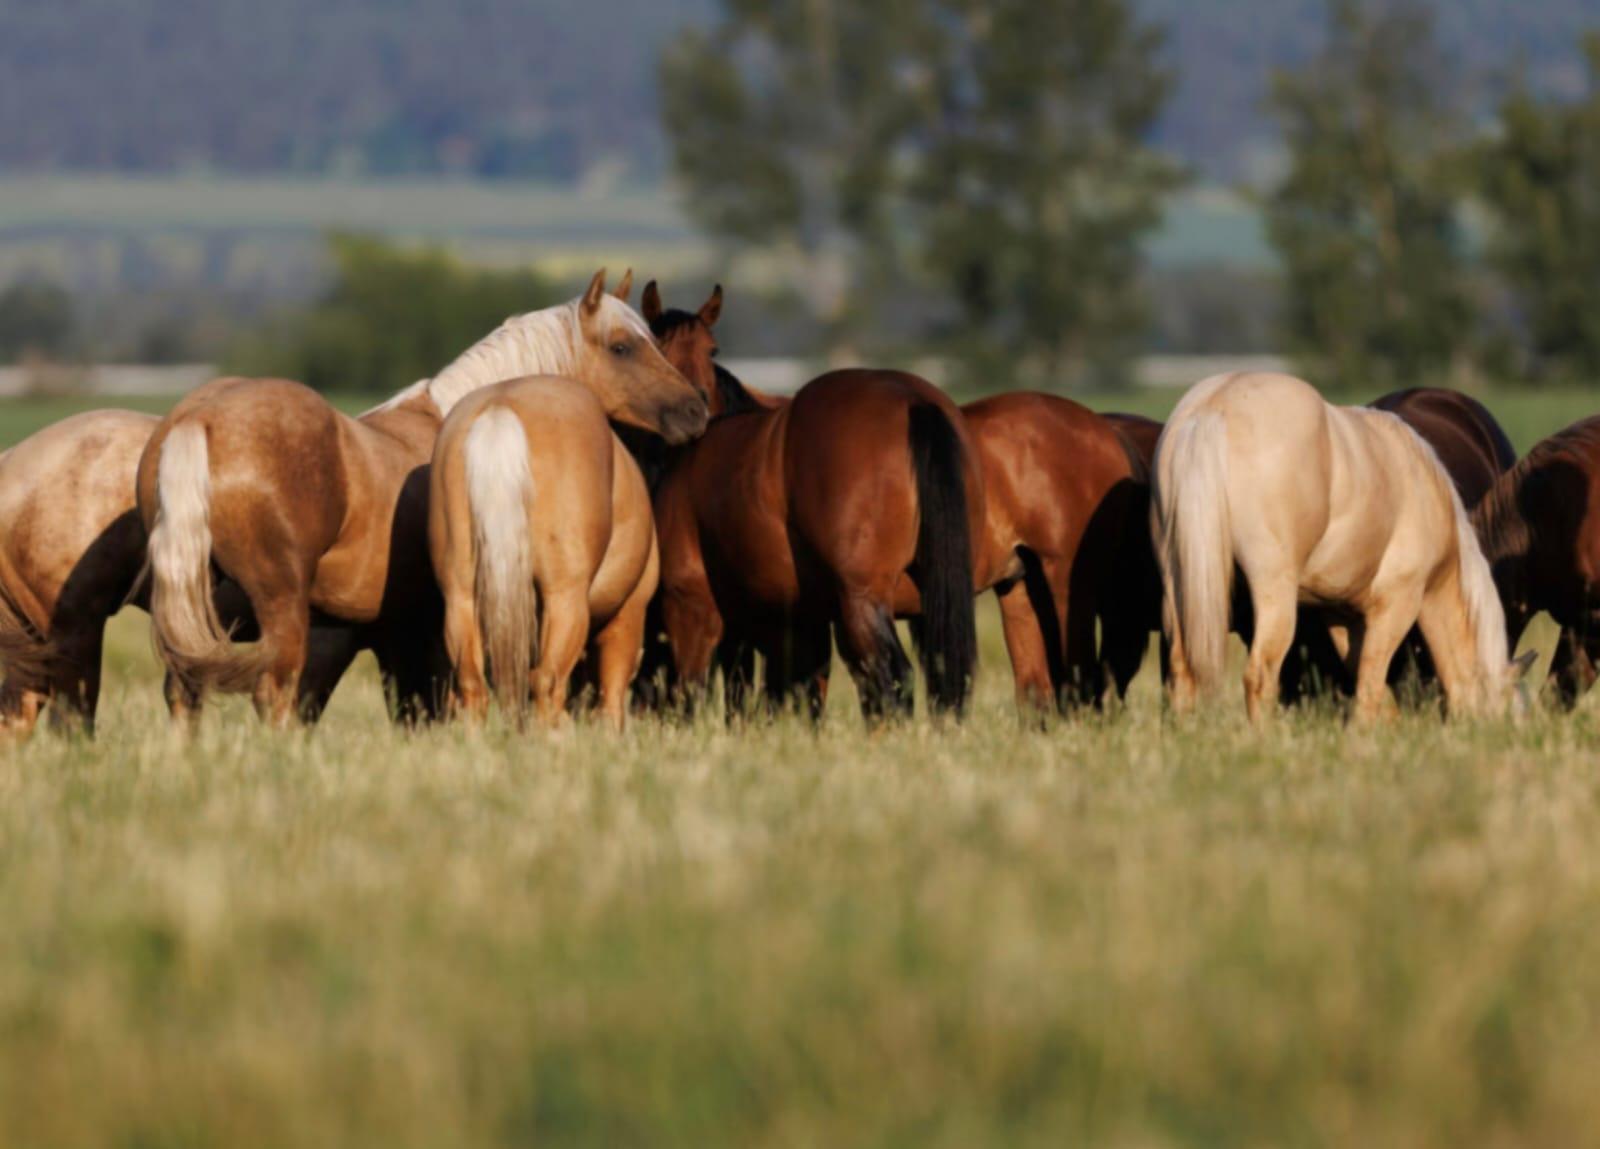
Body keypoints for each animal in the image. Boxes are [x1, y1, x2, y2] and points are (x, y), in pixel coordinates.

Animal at [429, 377, 658, 727]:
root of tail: (500, 408)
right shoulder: (629, 614)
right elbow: (610, 704)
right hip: (565, 599)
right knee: (547, 683)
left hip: (461, 598)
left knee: (472, 686)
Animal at [637, 284, 981, 722]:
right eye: (658, 347)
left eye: (711, 349)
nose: (693, 409)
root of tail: (913, 400)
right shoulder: (792, 621)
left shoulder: (695, 607)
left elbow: (697, 696)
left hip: (862, 600)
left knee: (893, 676)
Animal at [1154, 372, 1519, 723]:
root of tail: (1212, 408)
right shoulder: (1397, 604)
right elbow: (1371, 682)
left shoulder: (1342, 616)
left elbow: (1367, 682)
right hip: (1274, 590)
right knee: (1260, 674)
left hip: (1178, 584)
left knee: (1181, 669)